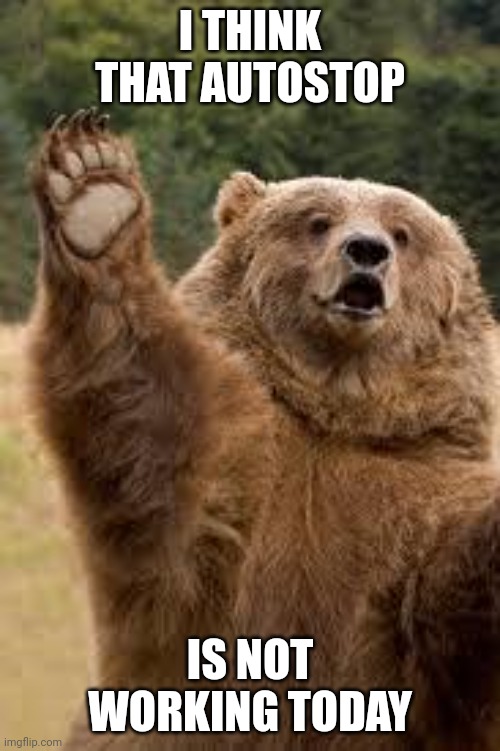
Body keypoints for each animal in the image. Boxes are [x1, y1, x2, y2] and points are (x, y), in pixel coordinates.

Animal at [28, 108, 500, 750]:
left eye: (403, 233)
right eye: (318, 221)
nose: (366, 251)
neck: (333, 414)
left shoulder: (413, 500)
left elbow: (449, 598)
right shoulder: (233, 486)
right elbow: (151, 430)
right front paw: (93, 189)